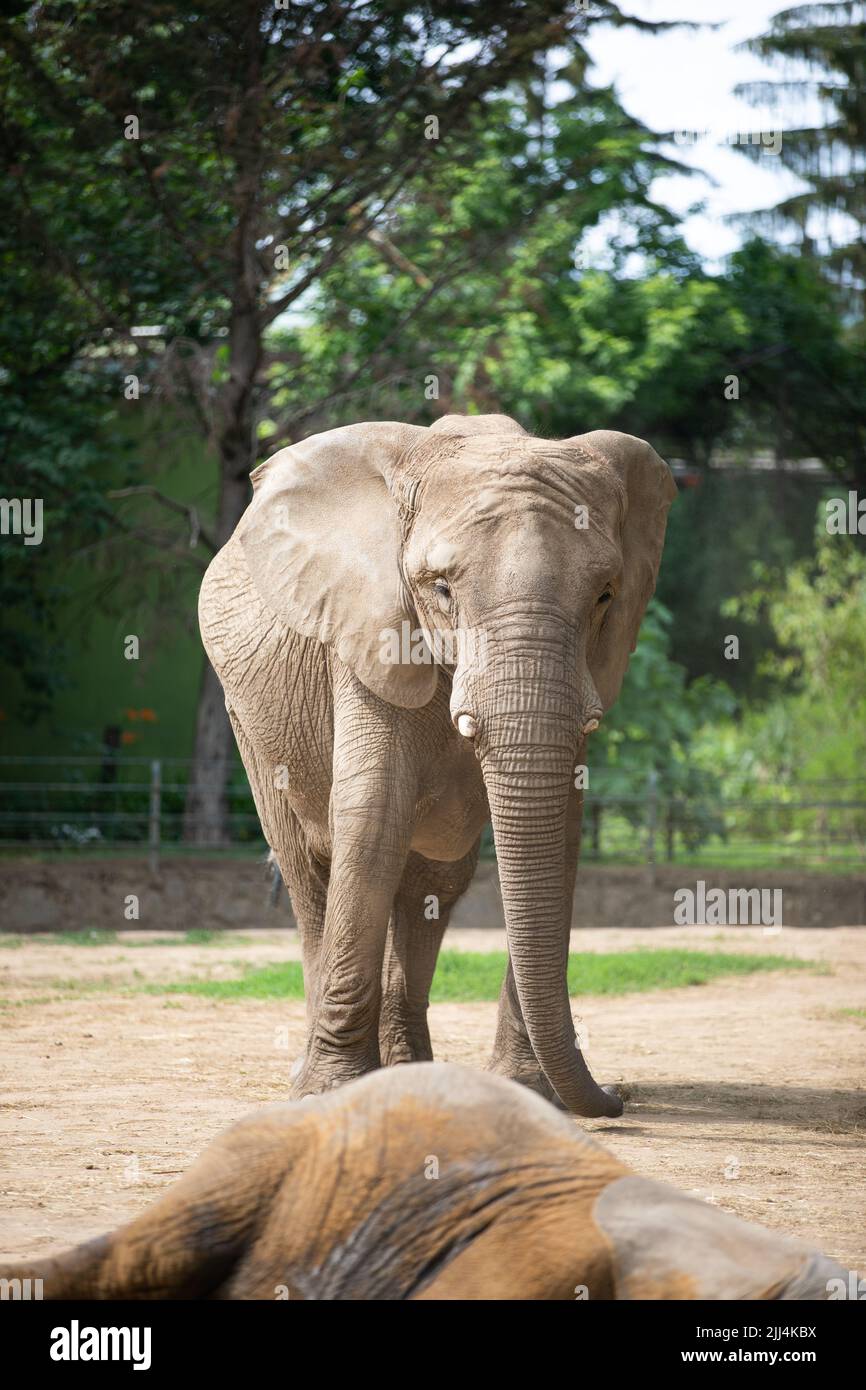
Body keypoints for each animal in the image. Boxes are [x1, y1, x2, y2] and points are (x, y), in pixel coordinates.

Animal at [198, 414, 677, 1118]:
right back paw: (311, 1075)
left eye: (605, 596)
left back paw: (409, 1069)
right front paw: (332, 1094)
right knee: (308, 867)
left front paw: (527, 1092)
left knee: (434, 882)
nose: (616, 1098)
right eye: (442, 589)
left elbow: (558, 834)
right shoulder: (365, 629)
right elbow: (370, 817)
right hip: (247, 717)